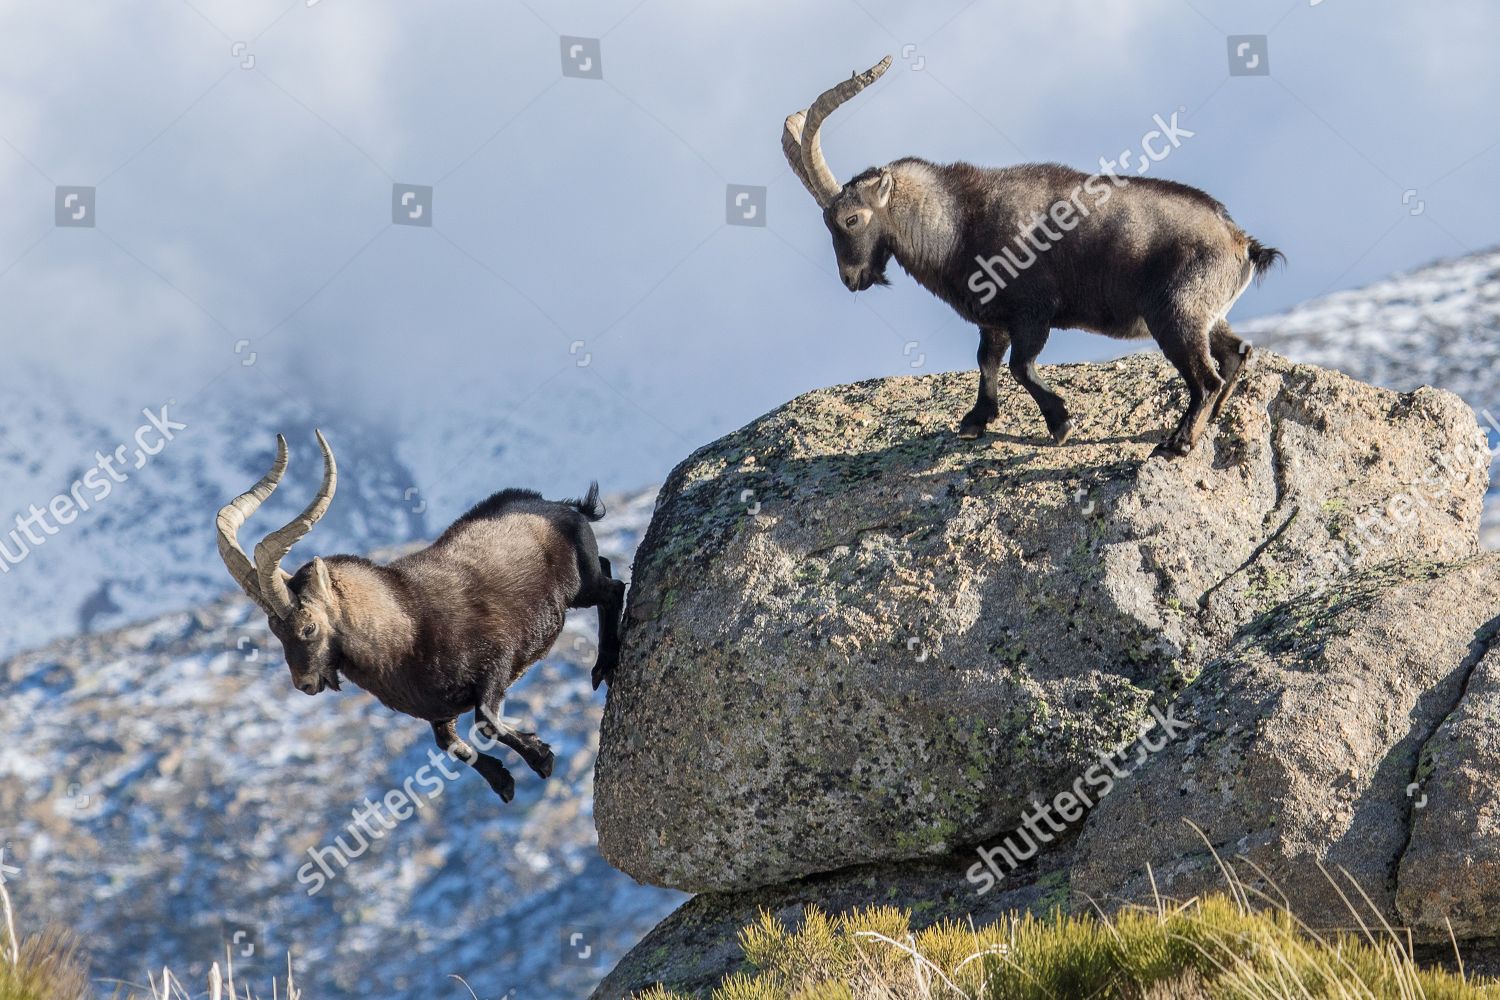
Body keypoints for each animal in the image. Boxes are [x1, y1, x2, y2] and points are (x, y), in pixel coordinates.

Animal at [215, 431, 626, 802]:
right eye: (274, 630)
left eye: (309, 626)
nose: (305, 683)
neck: (405, 624)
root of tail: (561, 505)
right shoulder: (438, 710)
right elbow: (448, 743)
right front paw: (503, 781)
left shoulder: (496, 660)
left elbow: (485, 721)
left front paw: (541, 757)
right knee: (608, 571)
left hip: (578, 586)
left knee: (615, 587)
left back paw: (603, 666)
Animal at [782, 57, 1284, 457]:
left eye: (851, 219)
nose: (851, 278)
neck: (956, 221)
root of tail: (1240, 241)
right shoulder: (994, 318)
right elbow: (986, 360)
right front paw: (976, 420)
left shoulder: (1033, 312)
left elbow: (1020, 366)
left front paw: (1060, 422)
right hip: (1205, 314)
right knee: (1236, 354)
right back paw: (1205, 425)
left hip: (1175, 314)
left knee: (1207, 379)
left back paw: (1178, 442)